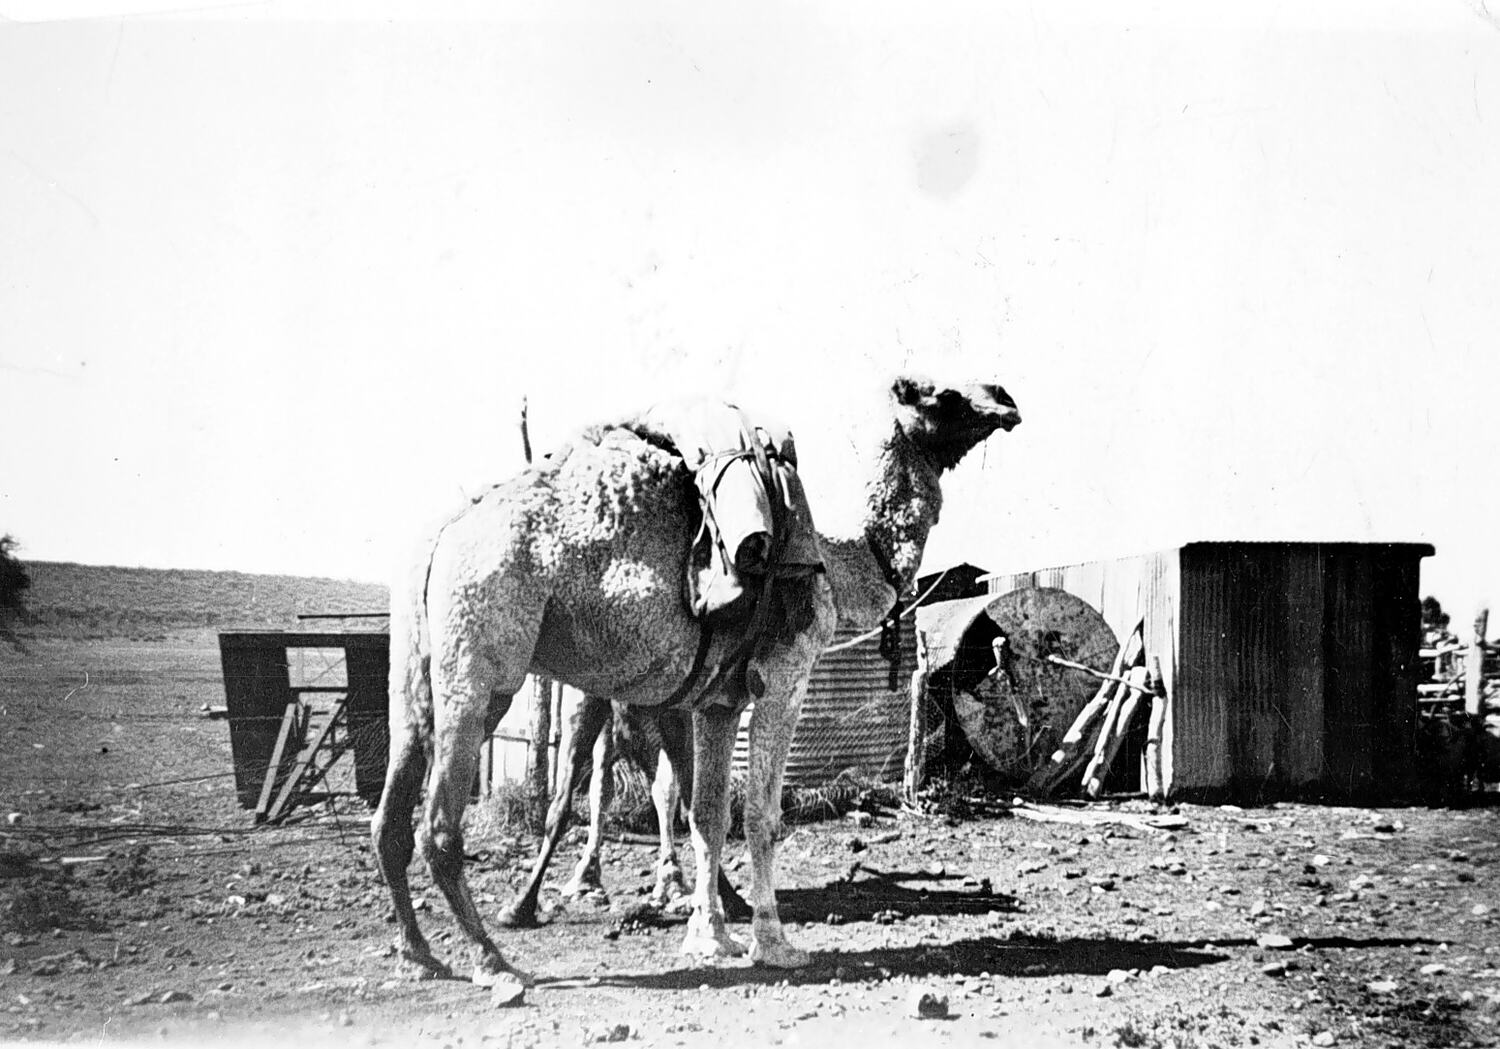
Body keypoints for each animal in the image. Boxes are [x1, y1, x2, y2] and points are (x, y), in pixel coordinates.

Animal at [370, 374, 1020, 986]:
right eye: (942, 395)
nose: (1007, 400)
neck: (841, 564)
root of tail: (443, 533)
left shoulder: (717, 702)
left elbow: (705, 814)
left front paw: (712, 937)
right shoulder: (784, 675)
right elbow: (760, 815)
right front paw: (772, 943)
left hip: (415, 668)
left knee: (391, 814)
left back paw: (420, 953)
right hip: (482, 664)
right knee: (439, 825)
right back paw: (494, 960)